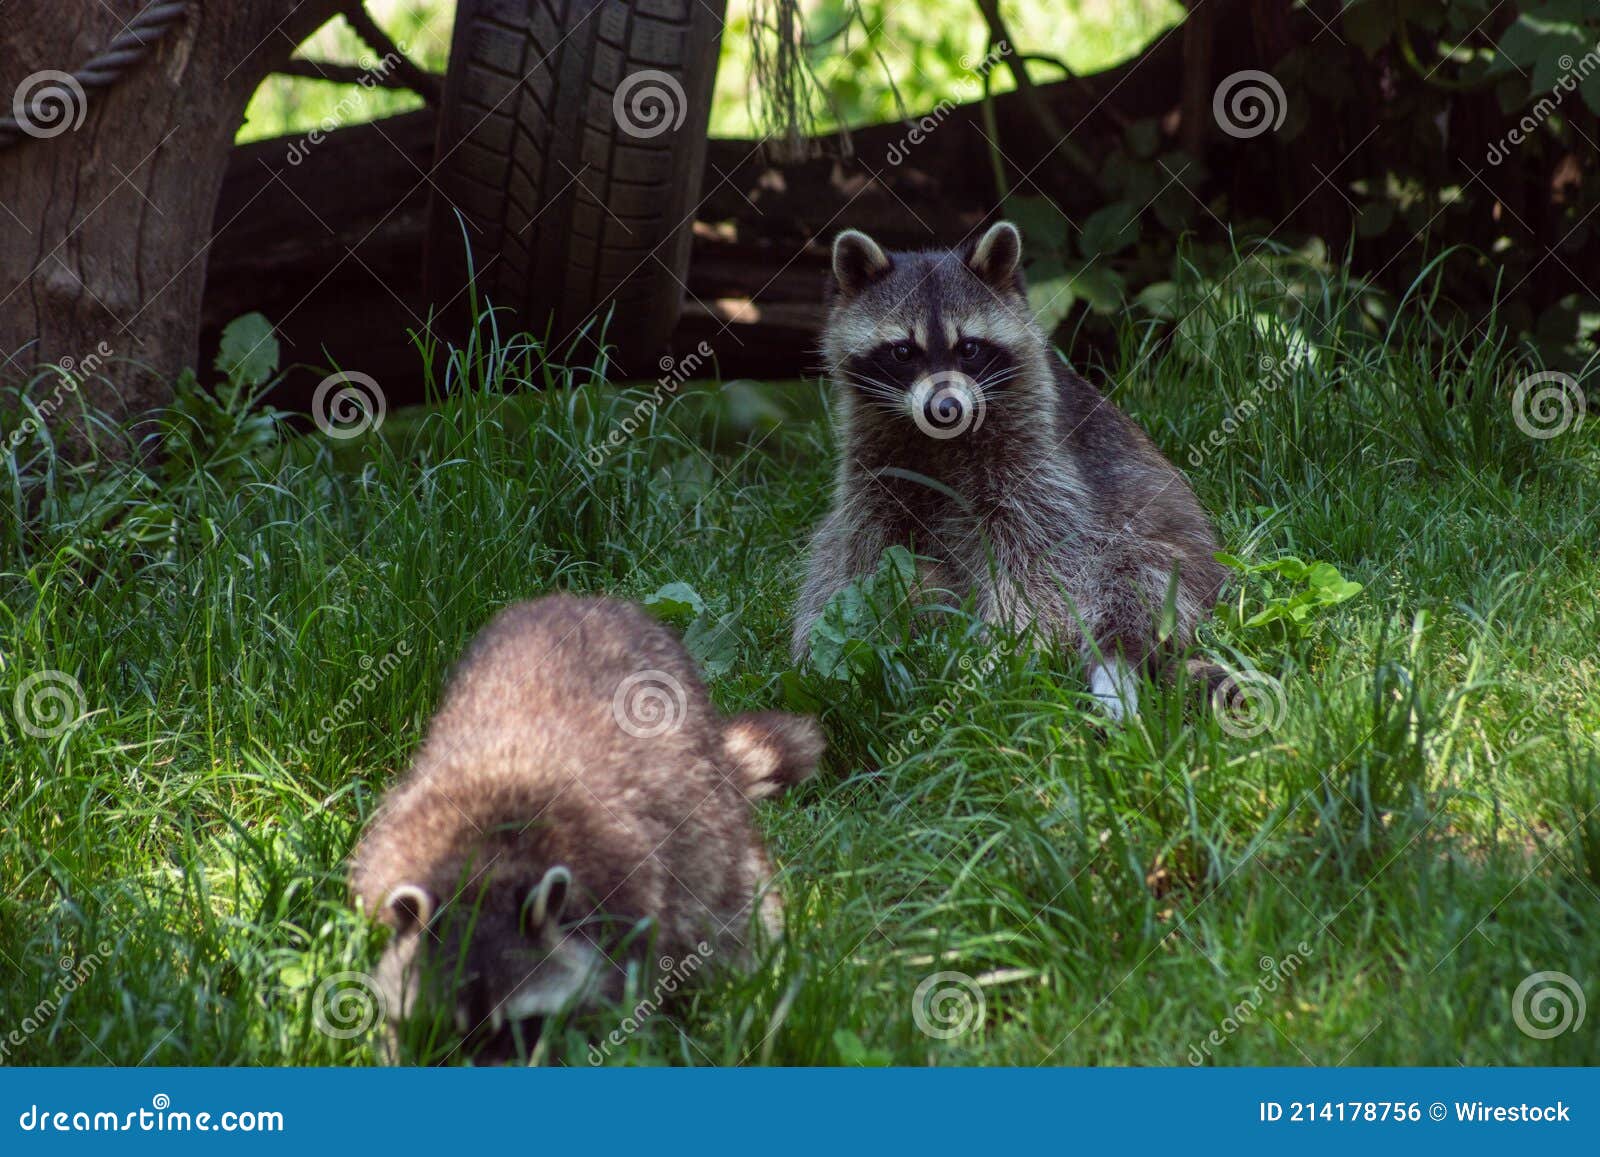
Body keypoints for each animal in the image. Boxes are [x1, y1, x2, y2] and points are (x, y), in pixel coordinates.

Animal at [349, 594, 822, 1058]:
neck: (487, 868)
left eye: (522, 1025)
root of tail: (584, 599)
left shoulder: (626, 890)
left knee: (733, 906)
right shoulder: (393, 852)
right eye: (440, 1030)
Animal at [793, 221, 1225, 719]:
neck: (939, 439)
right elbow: (869, 556)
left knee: (1130, 577)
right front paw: (874, 628)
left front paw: (1008, 644)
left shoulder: (1037, 458)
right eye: (902, 351)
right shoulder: (871, 458)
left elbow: (1036, 553)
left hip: (1163, 544)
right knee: (827, 562)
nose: (945, 408)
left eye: (969, 348)